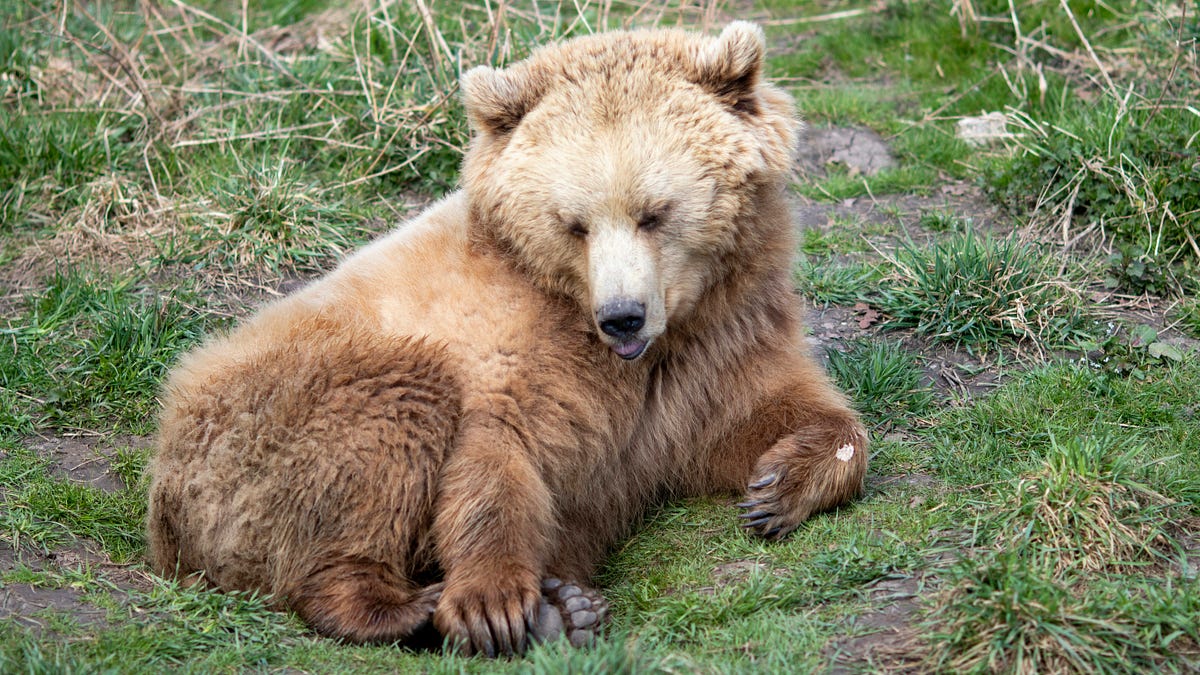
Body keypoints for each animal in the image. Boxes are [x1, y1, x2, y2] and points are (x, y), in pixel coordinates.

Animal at [145, 21, 868, 656]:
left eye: (654, 213)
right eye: (573, 222)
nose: (623, 316)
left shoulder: (715, 344)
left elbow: (763, 415)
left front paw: (777, 486)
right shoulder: (525, 346)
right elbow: (499, 449)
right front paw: (493, 601)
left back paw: (566, 610)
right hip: (266, 419)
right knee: (388, 414)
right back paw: (419, 604)